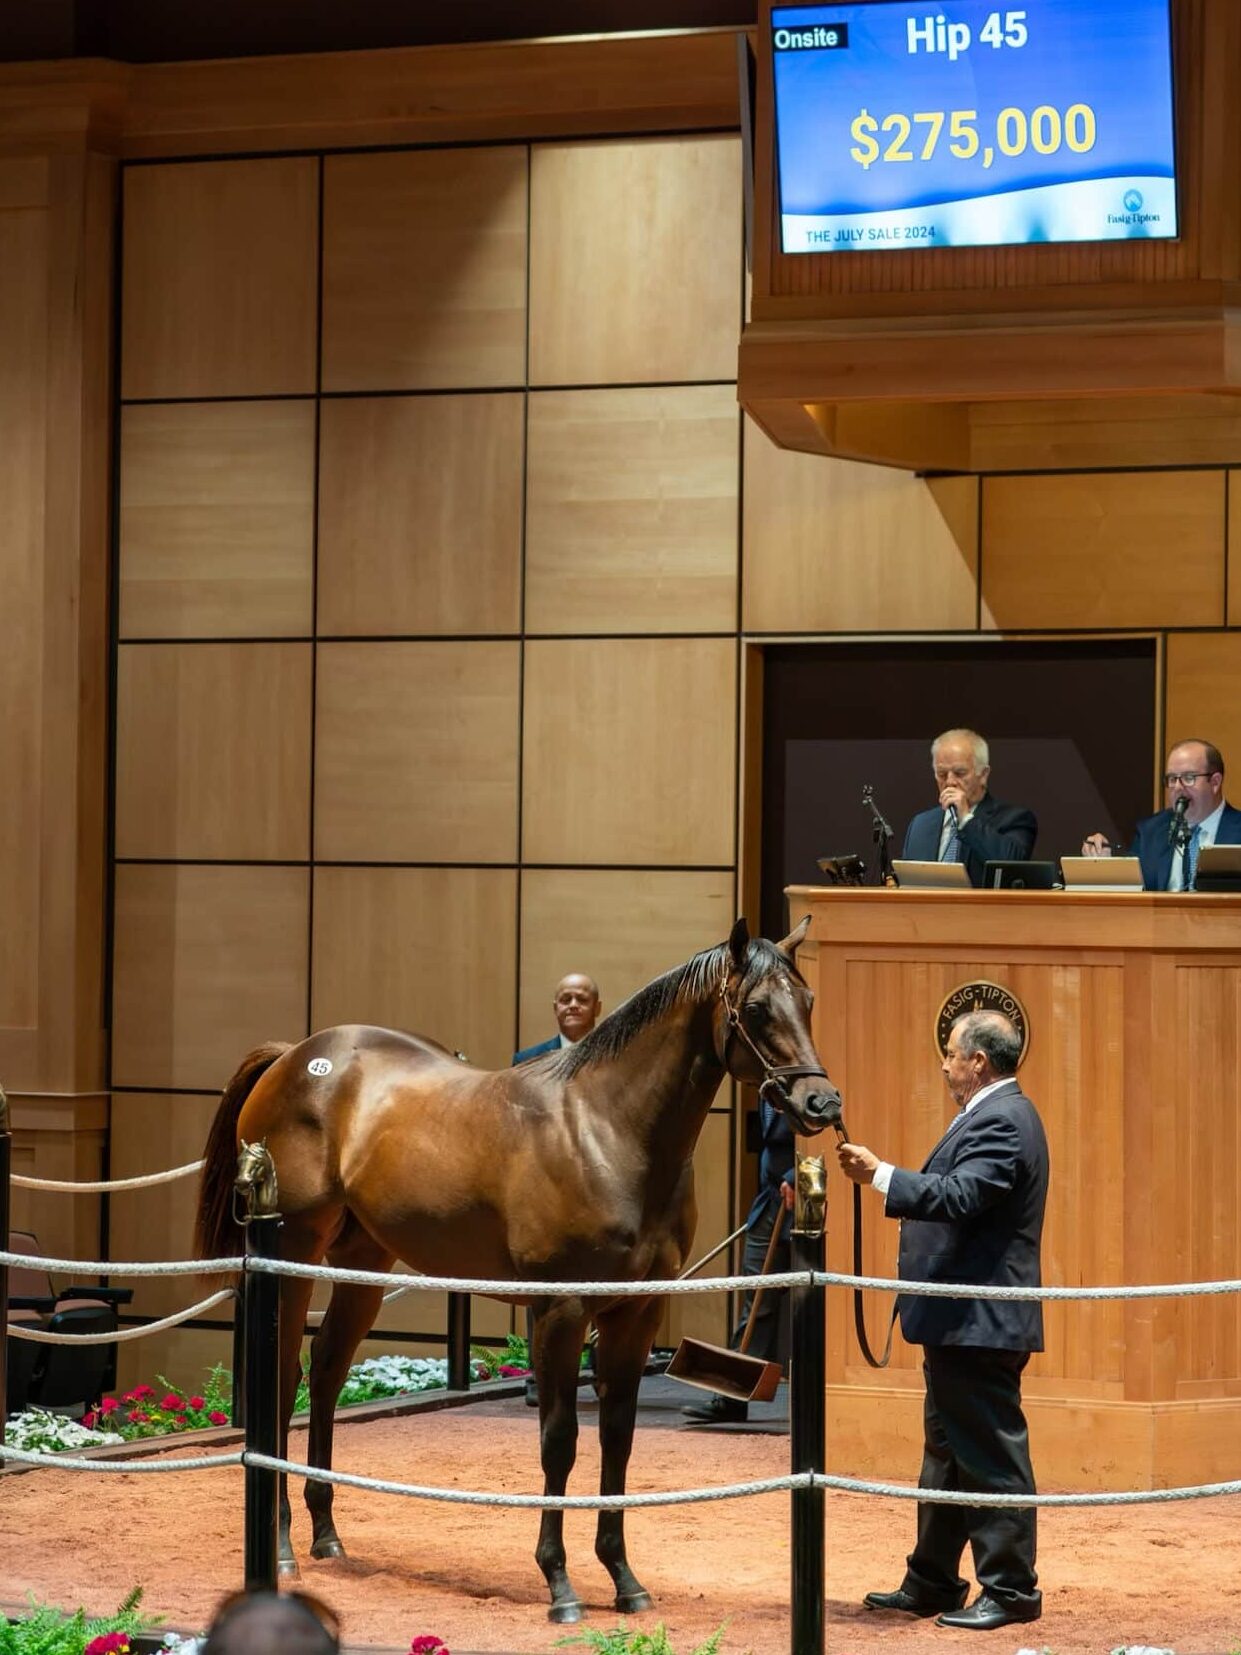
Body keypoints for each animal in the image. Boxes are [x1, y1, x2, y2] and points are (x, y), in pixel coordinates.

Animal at [194, 916, 840, 1622]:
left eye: (809, 1001)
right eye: (756, 1008)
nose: (821, 1102)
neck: (604, 1131)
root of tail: (295, 1057)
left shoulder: (637, 1312)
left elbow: (618, 1437)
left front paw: (623, 1578)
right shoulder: (559, 1311)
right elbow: (559, 1440)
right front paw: (560, 1584)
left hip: (364, 1261)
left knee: (328, 1372)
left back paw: (326, 1534)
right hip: (293, 1257)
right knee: (283, 1381)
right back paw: (281, 1544)